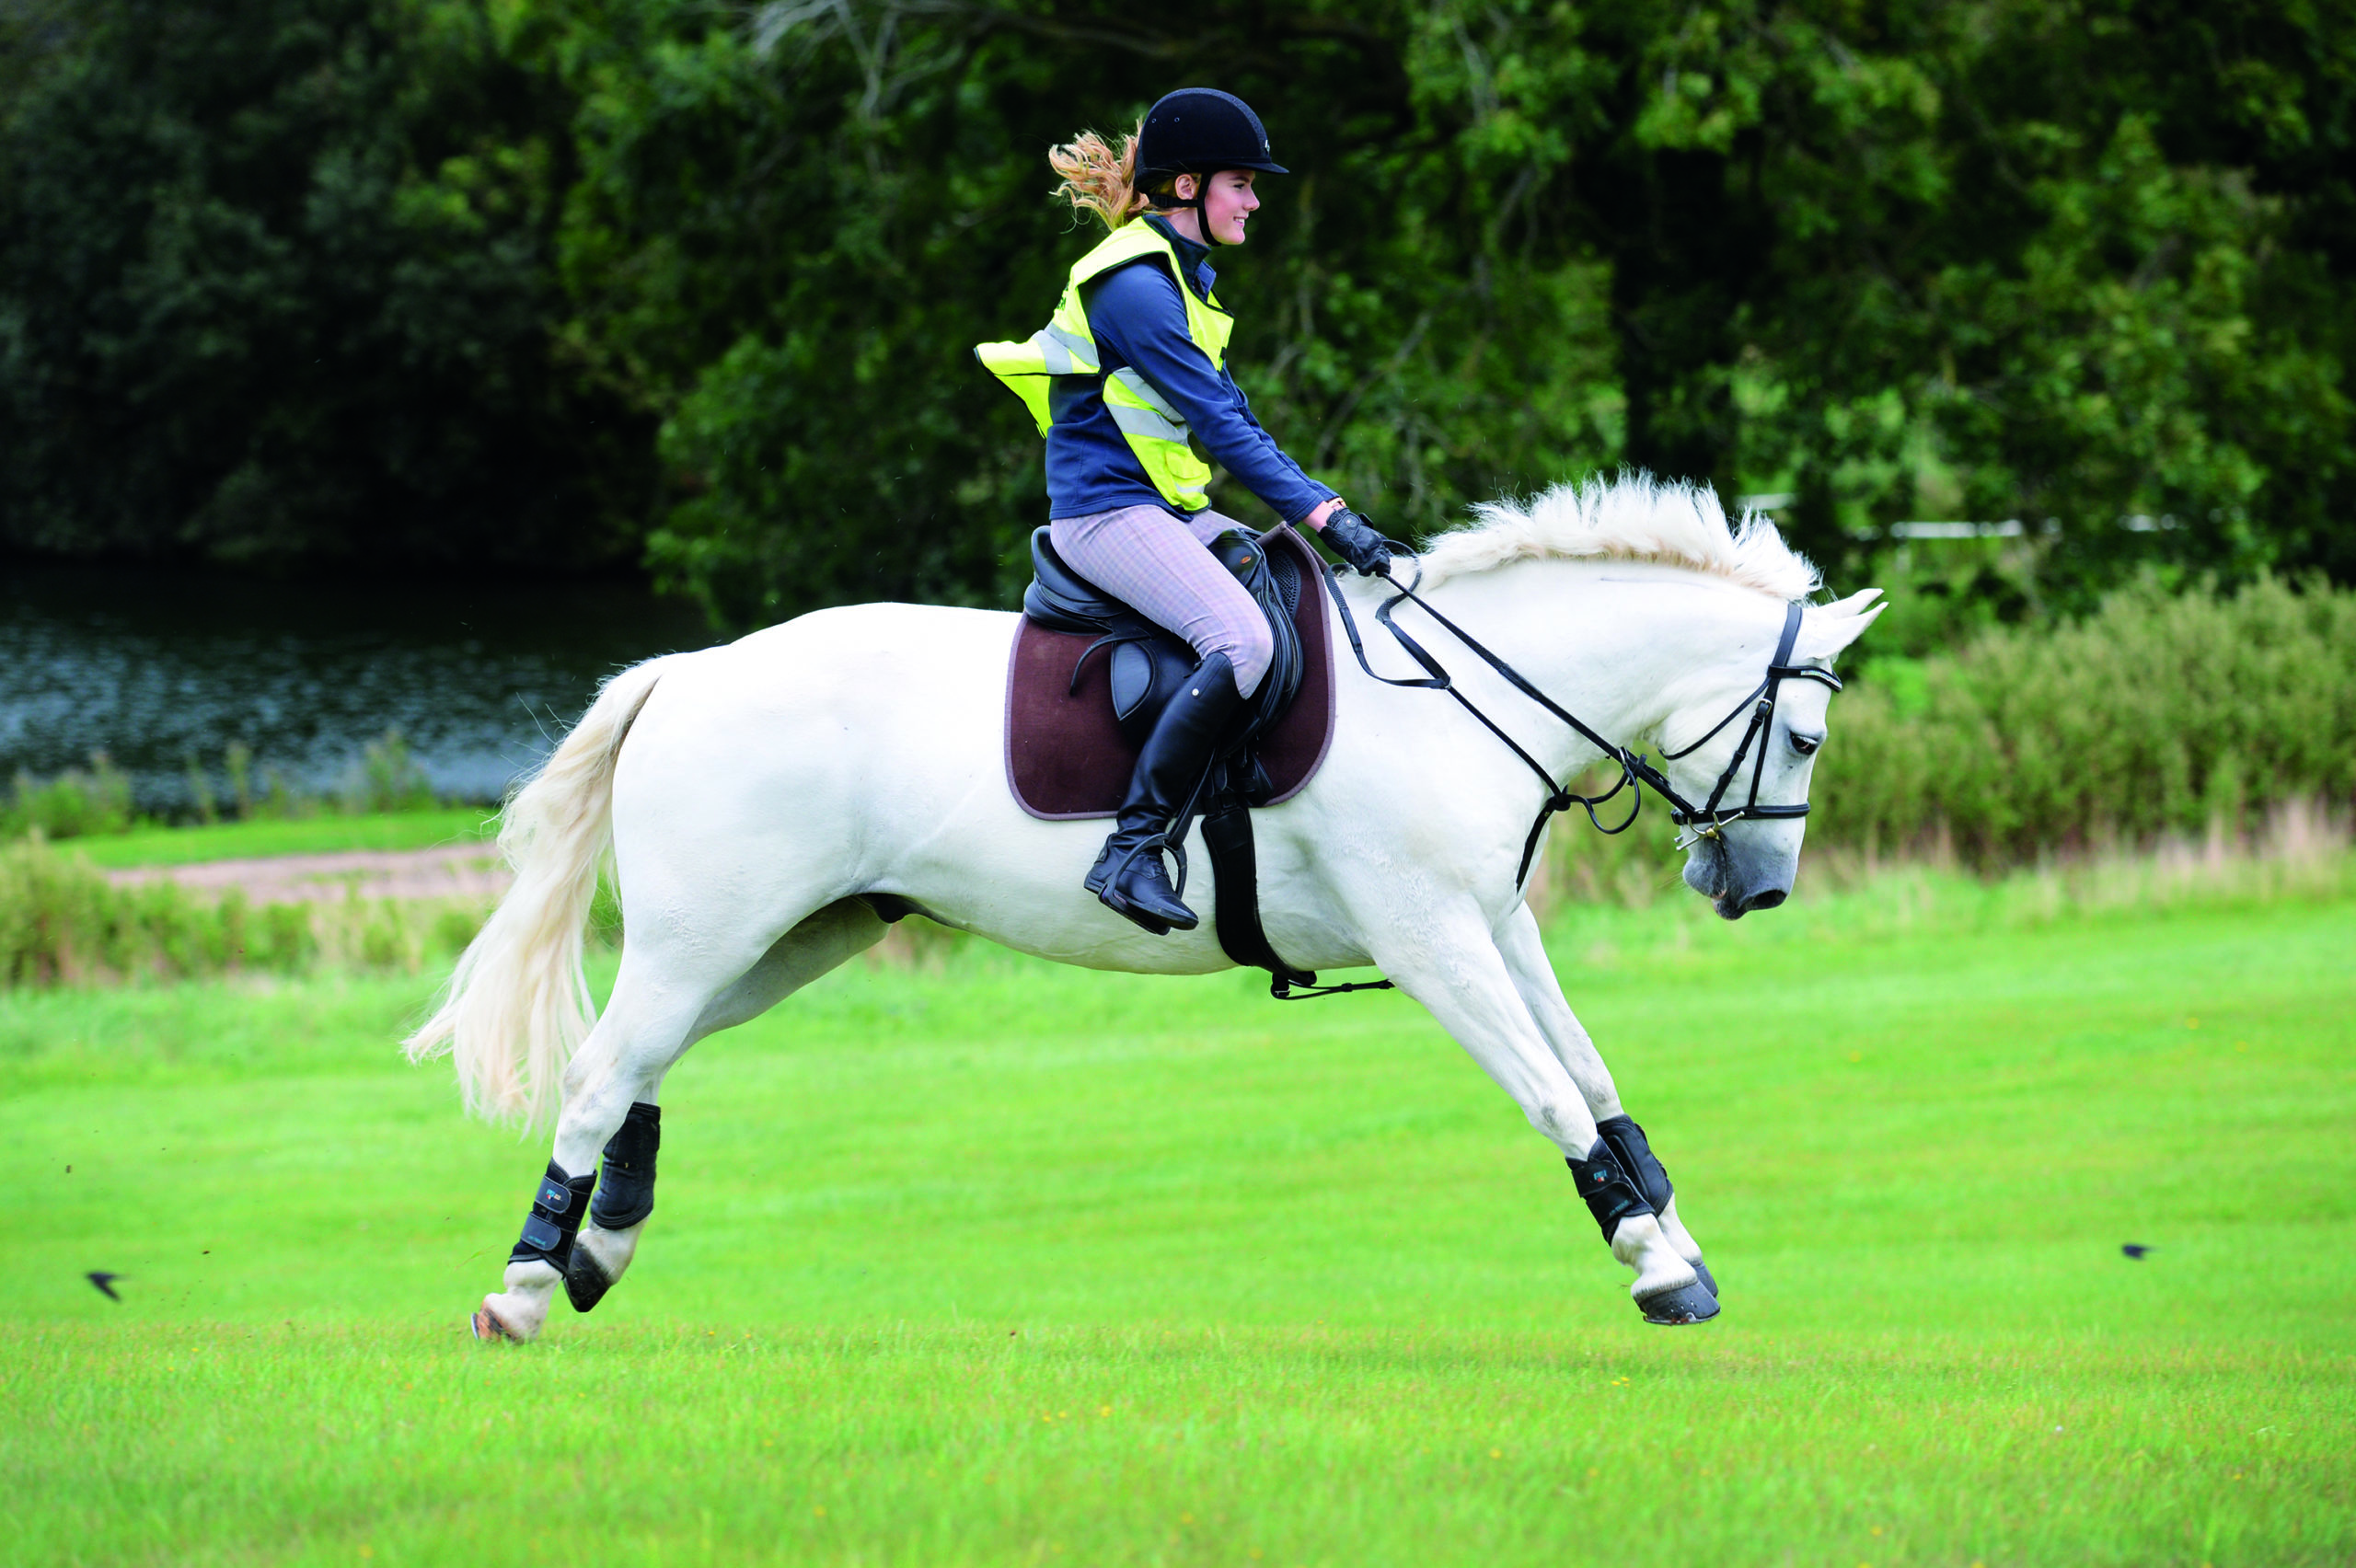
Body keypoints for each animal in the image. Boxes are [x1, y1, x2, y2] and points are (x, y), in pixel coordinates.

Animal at [408, 475, 1883, 1342]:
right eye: (1806, 737)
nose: (1754, 891)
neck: (1466, 692)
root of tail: (688, 671)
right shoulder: (1431, 943)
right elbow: (1552, 1098)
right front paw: (1656, 1267)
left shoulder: (1495, 931)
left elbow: (1599, 1082)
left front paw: (1669, 1230)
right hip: (712, 933)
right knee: (604, 1066)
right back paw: (526, 1286)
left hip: (787, 939)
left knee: (638, 1058)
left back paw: (598, 1248)